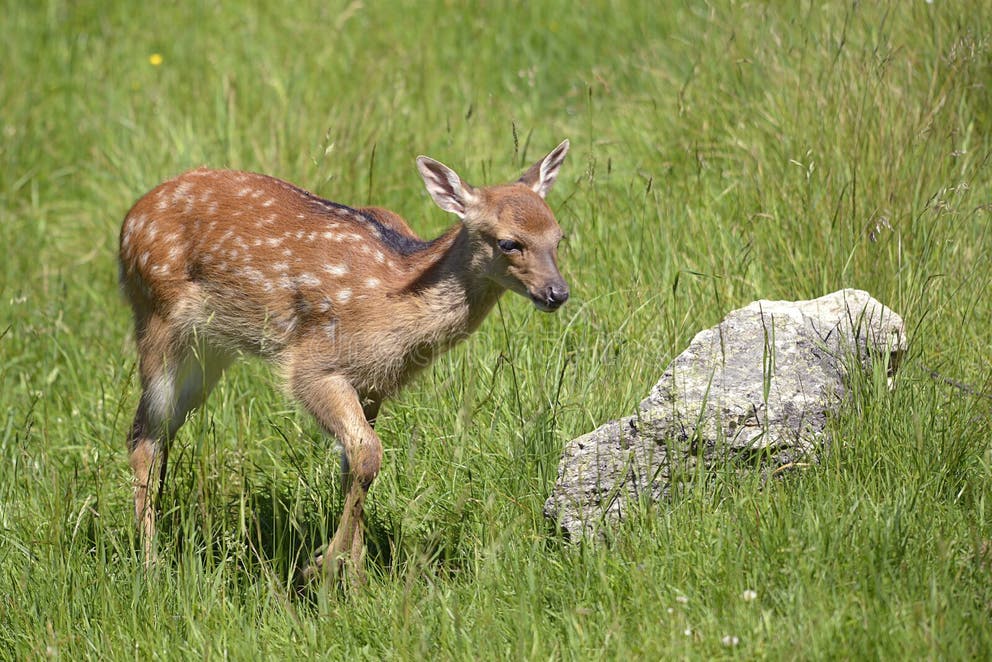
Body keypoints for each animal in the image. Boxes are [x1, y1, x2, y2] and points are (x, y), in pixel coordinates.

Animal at [118, 139, 571, 583]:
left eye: (559, 236)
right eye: (509, 242)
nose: (557, 292)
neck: (396, 298)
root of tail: (130, 220)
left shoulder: (372, 384)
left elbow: (353, 463)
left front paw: (354, 576)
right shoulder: (314, 365)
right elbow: (368, 454)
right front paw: (321, 565)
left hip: (208, 351)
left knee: (158, 434)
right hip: (159, 321)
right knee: (142, 437)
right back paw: (151, 564)